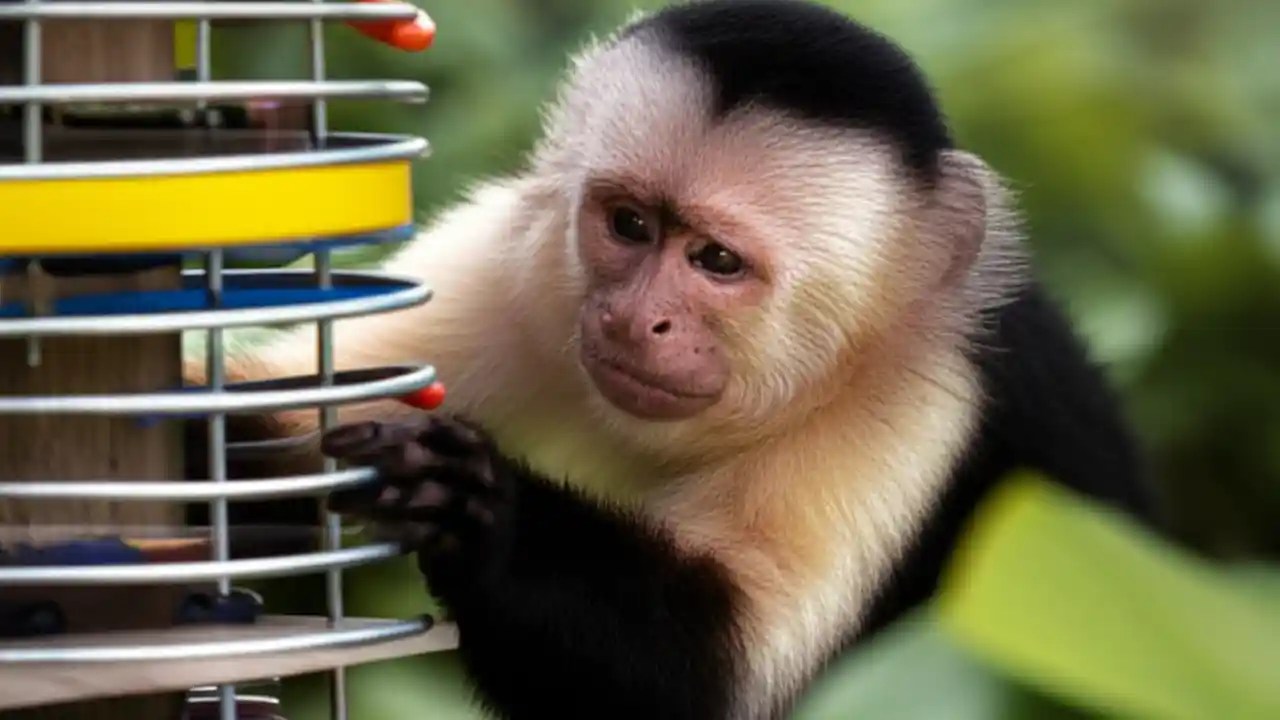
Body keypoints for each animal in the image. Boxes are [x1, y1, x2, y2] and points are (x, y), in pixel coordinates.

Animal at [187, 1, 1156, 717]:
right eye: (630, 225)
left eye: (716, 261)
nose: (637, 320)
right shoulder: (519, 262)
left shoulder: (913, 399)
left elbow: (716, 681)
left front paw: (470, 503)